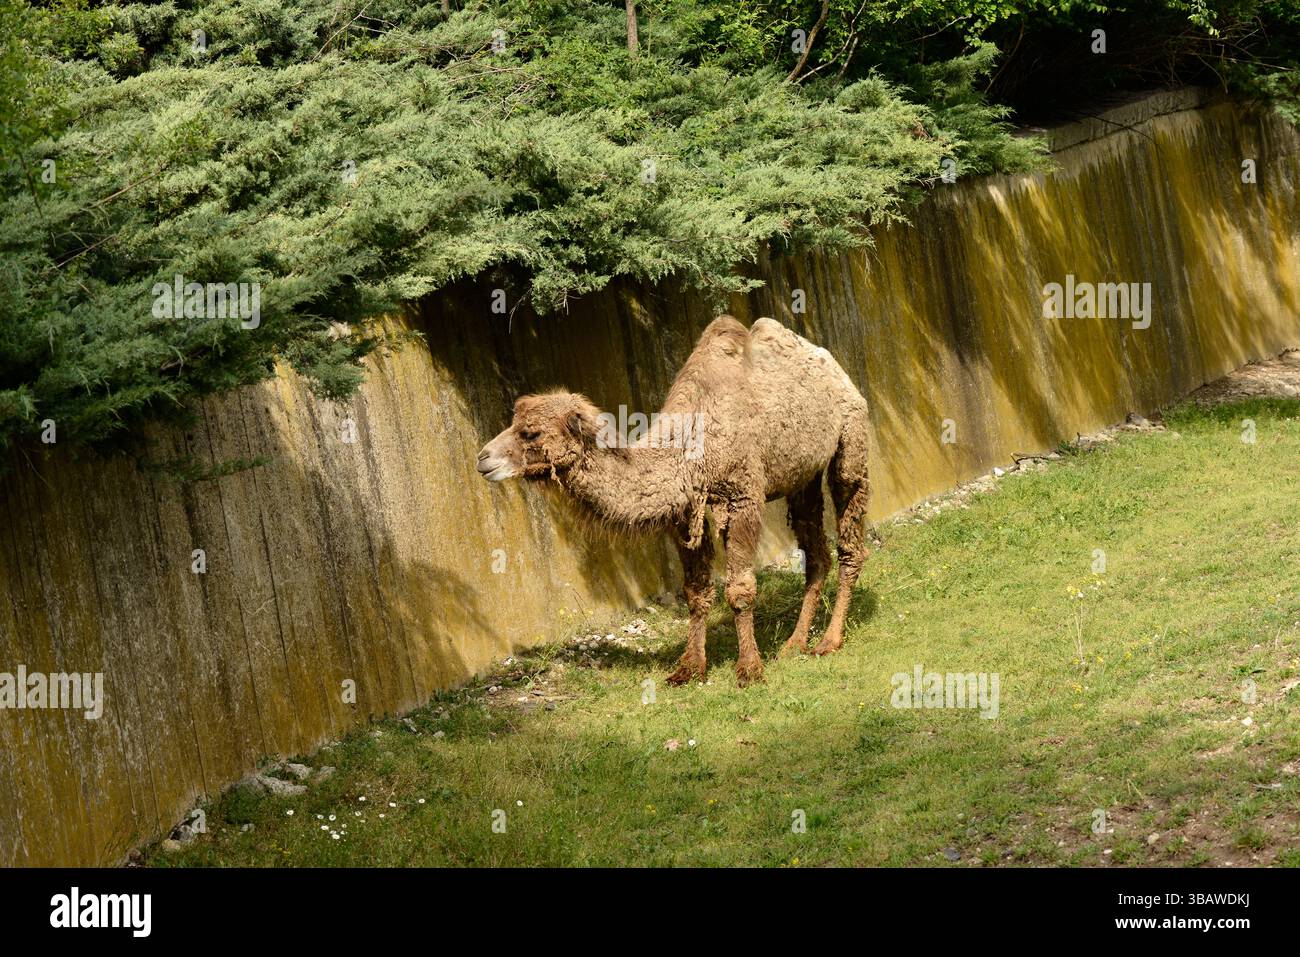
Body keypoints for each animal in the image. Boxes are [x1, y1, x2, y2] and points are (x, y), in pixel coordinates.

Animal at [476, 315, 872, 687]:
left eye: (530, 433)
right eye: (515, 423)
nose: (483, 458)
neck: (688, 450)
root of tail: (832, 363)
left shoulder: (743, 496)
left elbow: (740, 589)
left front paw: (749, 670)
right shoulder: (685, 511)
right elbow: (696, 592)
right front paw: (688, 669)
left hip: (851, 439)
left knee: (850, 533)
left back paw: (829, 641)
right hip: (801, 476)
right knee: (816, 552)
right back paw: (795, 644)